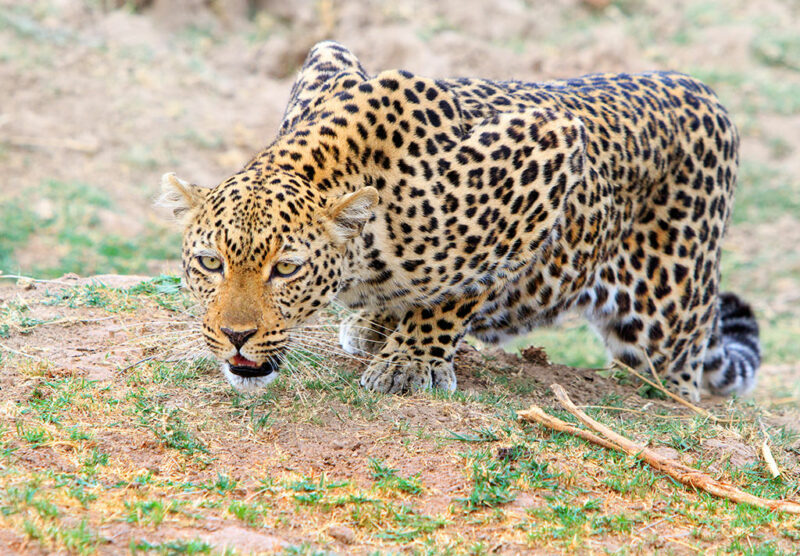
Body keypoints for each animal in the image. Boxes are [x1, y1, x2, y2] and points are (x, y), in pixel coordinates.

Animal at [158, 41, 760, 402]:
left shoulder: (550, 144)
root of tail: (702, 90)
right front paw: (379, 323)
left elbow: (463, 288)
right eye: (210, 263)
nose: (236, 335)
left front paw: (411, 359)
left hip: (666, 323)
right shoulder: (329, 55)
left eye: (286, 269)